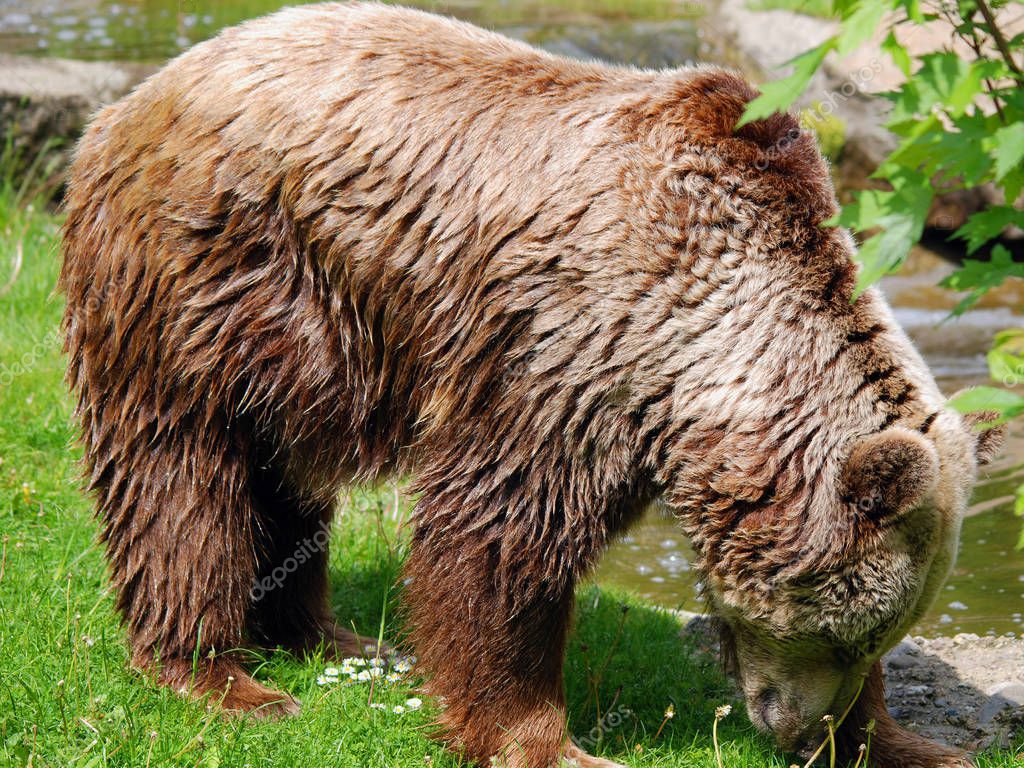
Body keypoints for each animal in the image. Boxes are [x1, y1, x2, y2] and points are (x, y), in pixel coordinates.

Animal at [59, 3, 1003, 767]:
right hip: (208, 275)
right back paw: (220, 675)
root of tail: (140, 93)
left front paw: (903, 743)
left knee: (286, 477)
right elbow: (500, 533)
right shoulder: (569, 346)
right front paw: (548, 740)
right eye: (844, 629)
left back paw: (332, 637)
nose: (799, 730)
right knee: (179, 471)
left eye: (880, 636)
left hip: (296, 346)